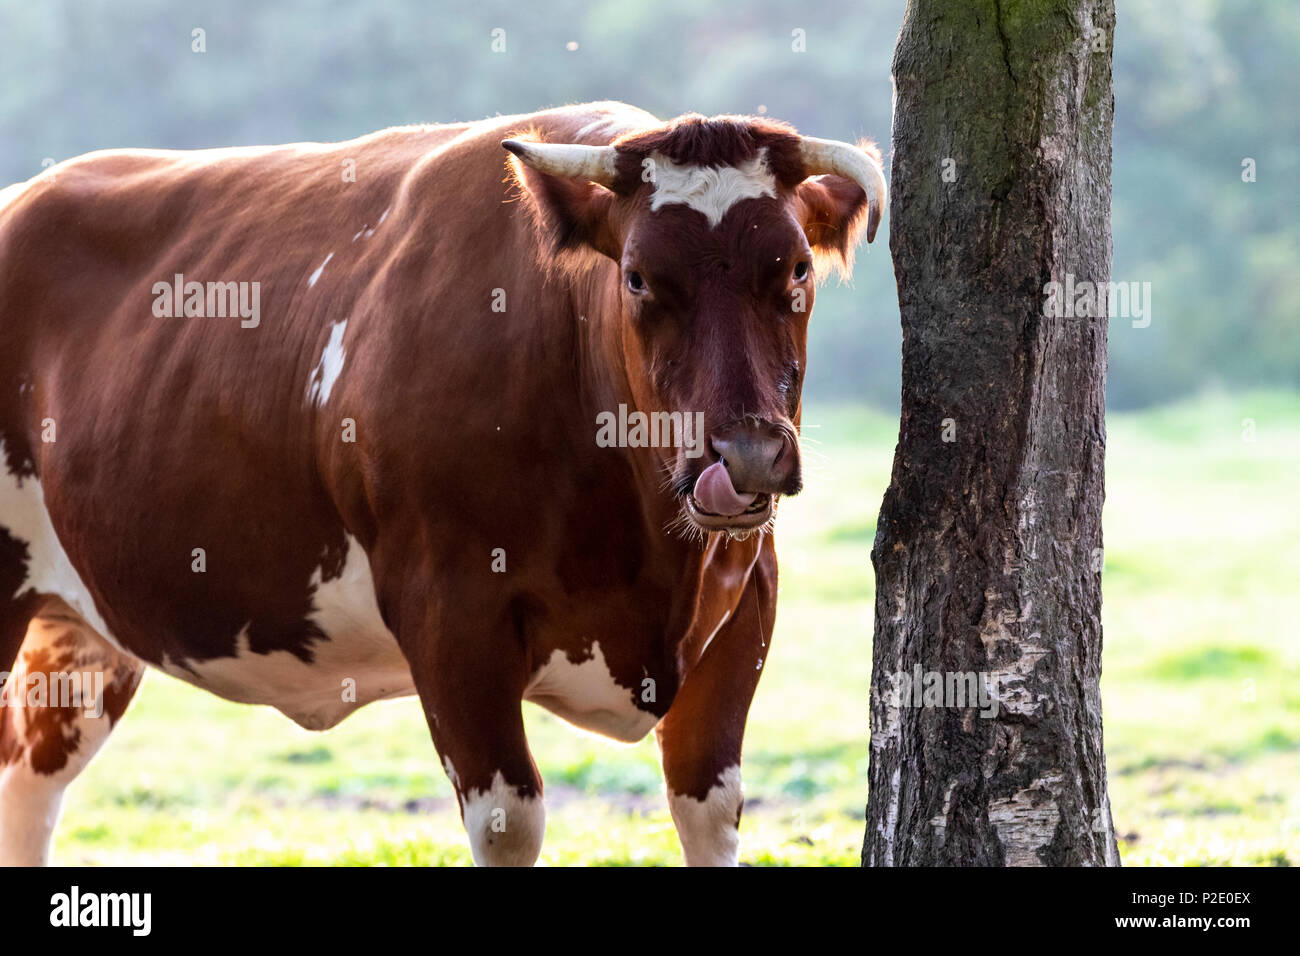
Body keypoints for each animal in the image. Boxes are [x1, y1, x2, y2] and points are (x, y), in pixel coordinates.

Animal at [0, 101, 885, 866]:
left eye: (796, 268)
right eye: (637, 277)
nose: (746, 455)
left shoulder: (746, 605)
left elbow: (710, 812)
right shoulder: (450, 615)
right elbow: (508, 824)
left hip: (80, 634)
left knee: (28, 787)